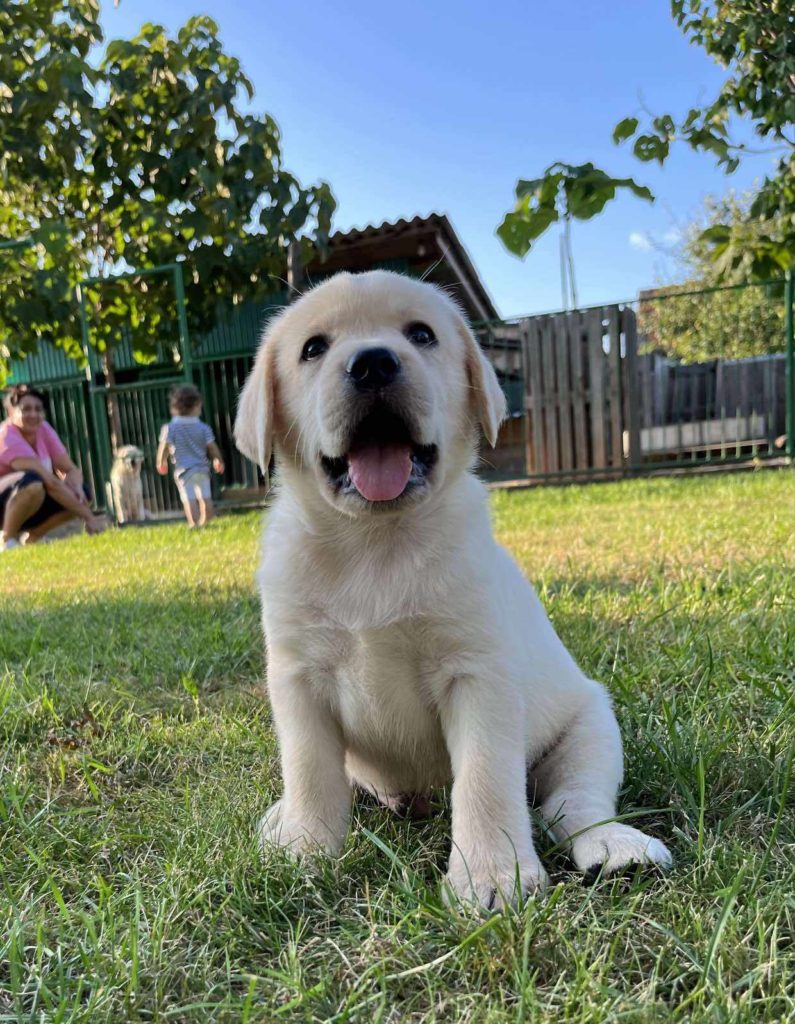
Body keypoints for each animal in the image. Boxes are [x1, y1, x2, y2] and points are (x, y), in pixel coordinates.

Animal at [231, 268, 672, 909]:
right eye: (313, 348)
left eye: (421, 334)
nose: (372, 364)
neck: (374, 543)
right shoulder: (298, 678)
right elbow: (311, 772)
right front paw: (305, 851)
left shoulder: (477, 675)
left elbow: (485, 782)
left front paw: (491, 876)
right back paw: (282, 820)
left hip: (591, 725)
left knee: (573, 804)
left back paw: (616, 846)